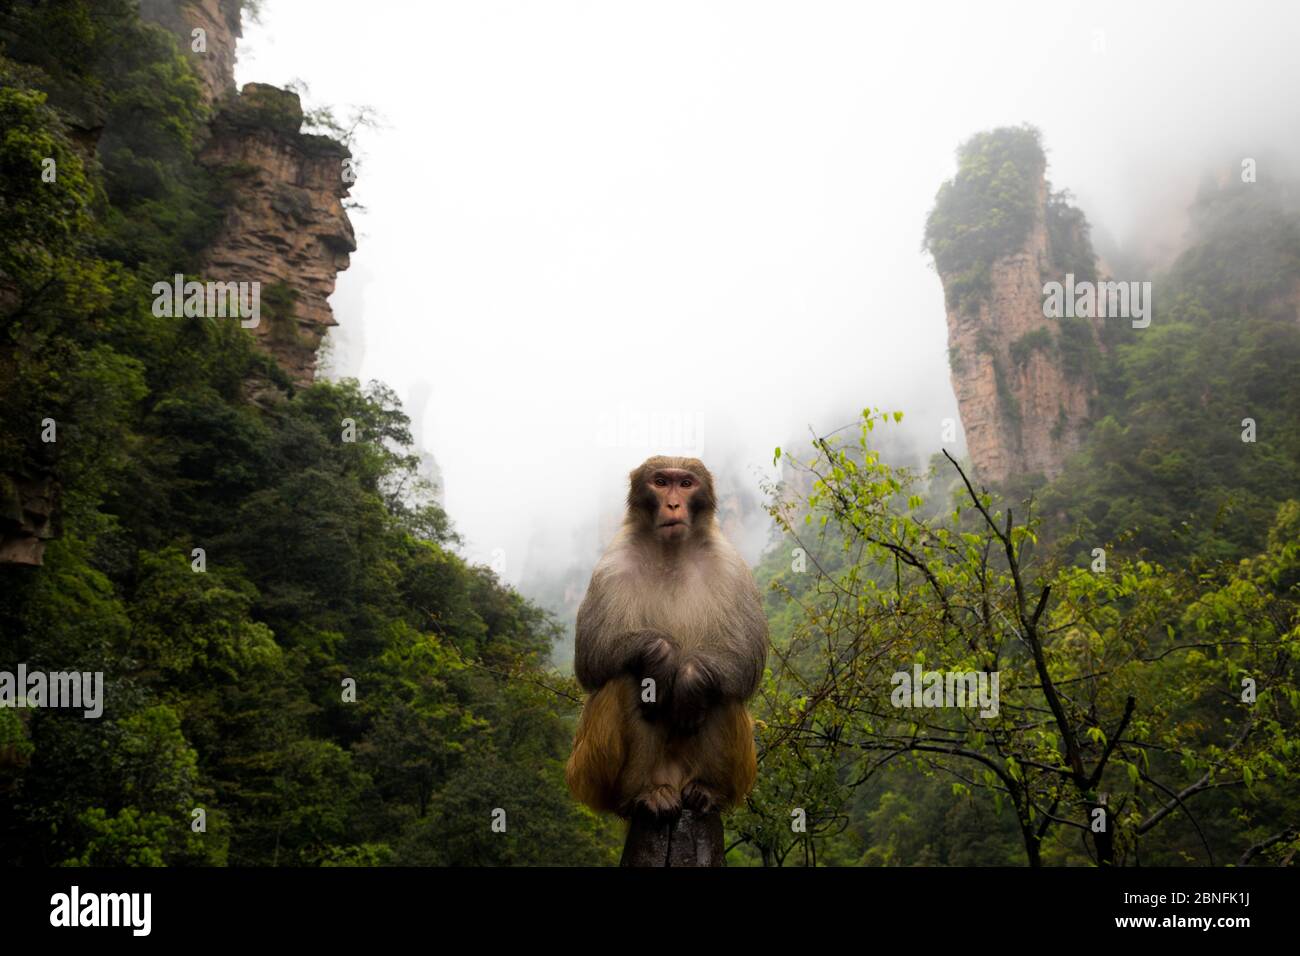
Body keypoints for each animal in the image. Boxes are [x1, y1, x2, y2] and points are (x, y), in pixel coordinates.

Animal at [565, 455, 769, 821]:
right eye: (660, 482)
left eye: (685, 484)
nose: (673, 504)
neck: (672, 552)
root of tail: (673, 778)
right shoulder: (612, 564)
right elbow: (590, 658)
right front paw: (660, 656)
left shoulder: (731, 564)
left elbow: (747, 658)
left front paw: (690, 678)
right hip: (586, 773)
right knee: (626, 681)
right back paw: (641, 795)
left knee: (724, 690)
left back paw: (706, 790)